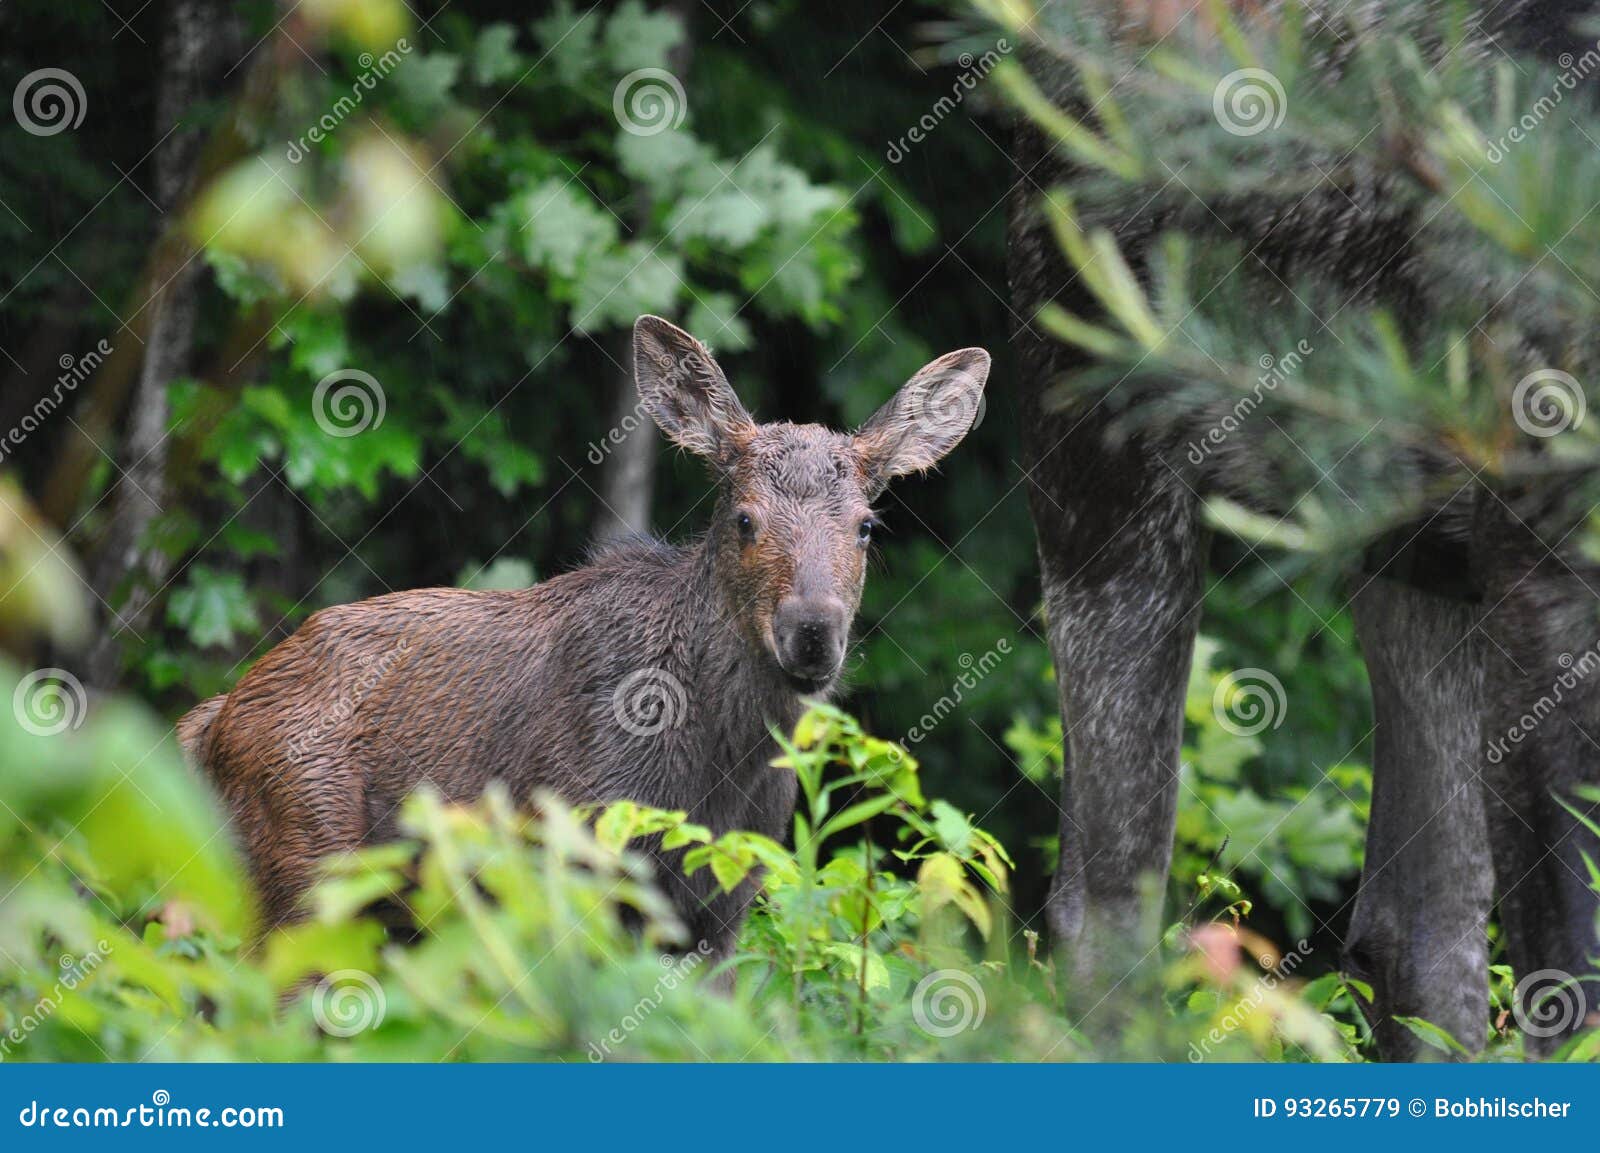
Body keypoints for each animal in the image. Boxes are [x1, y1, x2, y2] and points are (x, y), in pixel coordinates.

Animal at [178, 315, 990, 964]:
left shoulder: (724, 904)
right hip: (305, 868)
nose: (812, 631)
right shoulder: (569, 860)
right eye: (744, 519)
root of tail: (211, 720)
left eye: (867, 525)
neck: (719, 770)